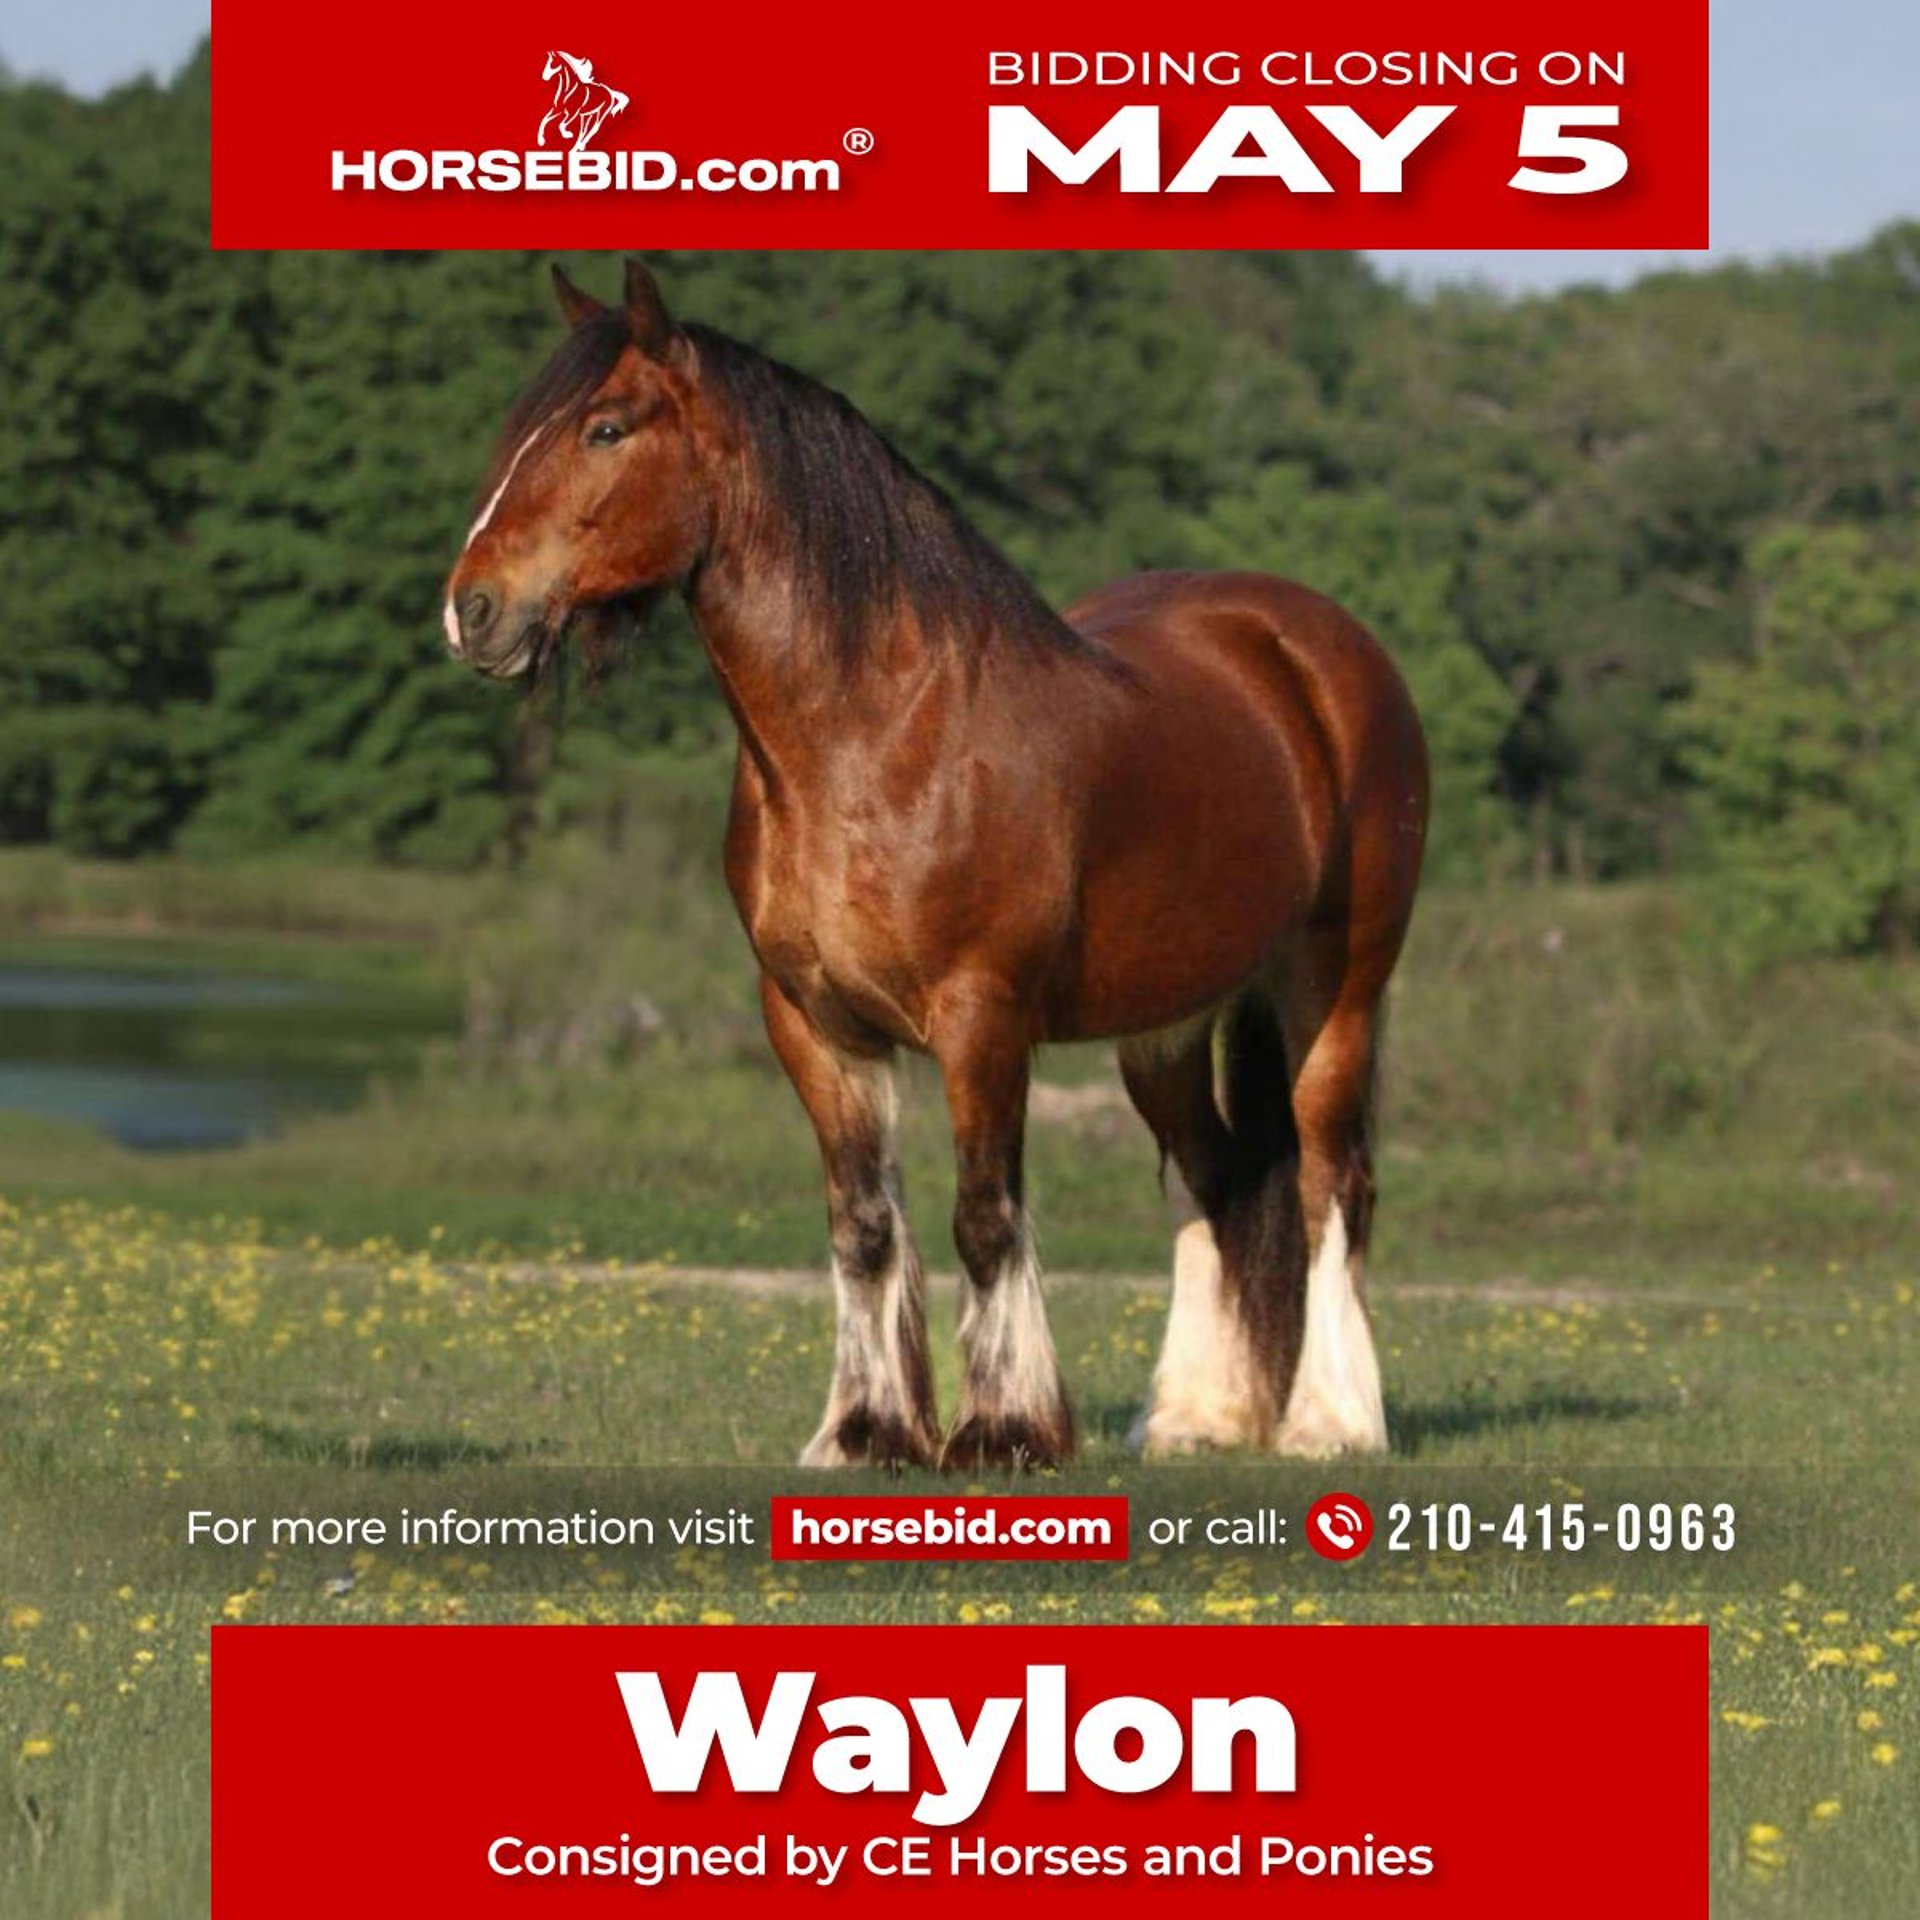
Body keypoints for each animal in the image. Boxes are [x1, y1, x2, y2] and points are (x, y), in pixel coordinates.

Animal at [443, 261, 1429, 1470]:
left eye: (605, 428)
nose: (472, 610)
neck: (877, 736)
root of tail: (1317, 648)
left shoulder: (982, 1023)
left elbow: (984, 1215)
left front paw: (1004, 1430)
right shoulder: (814, 1027)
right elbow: (864, 1224)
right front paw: (866, 1429)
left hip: (1335, 988)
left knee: (1333, 1178)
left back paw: (1329, 1421)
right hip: (1164, 1024)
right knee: (1214, 1177)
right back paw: (1193, 1418)